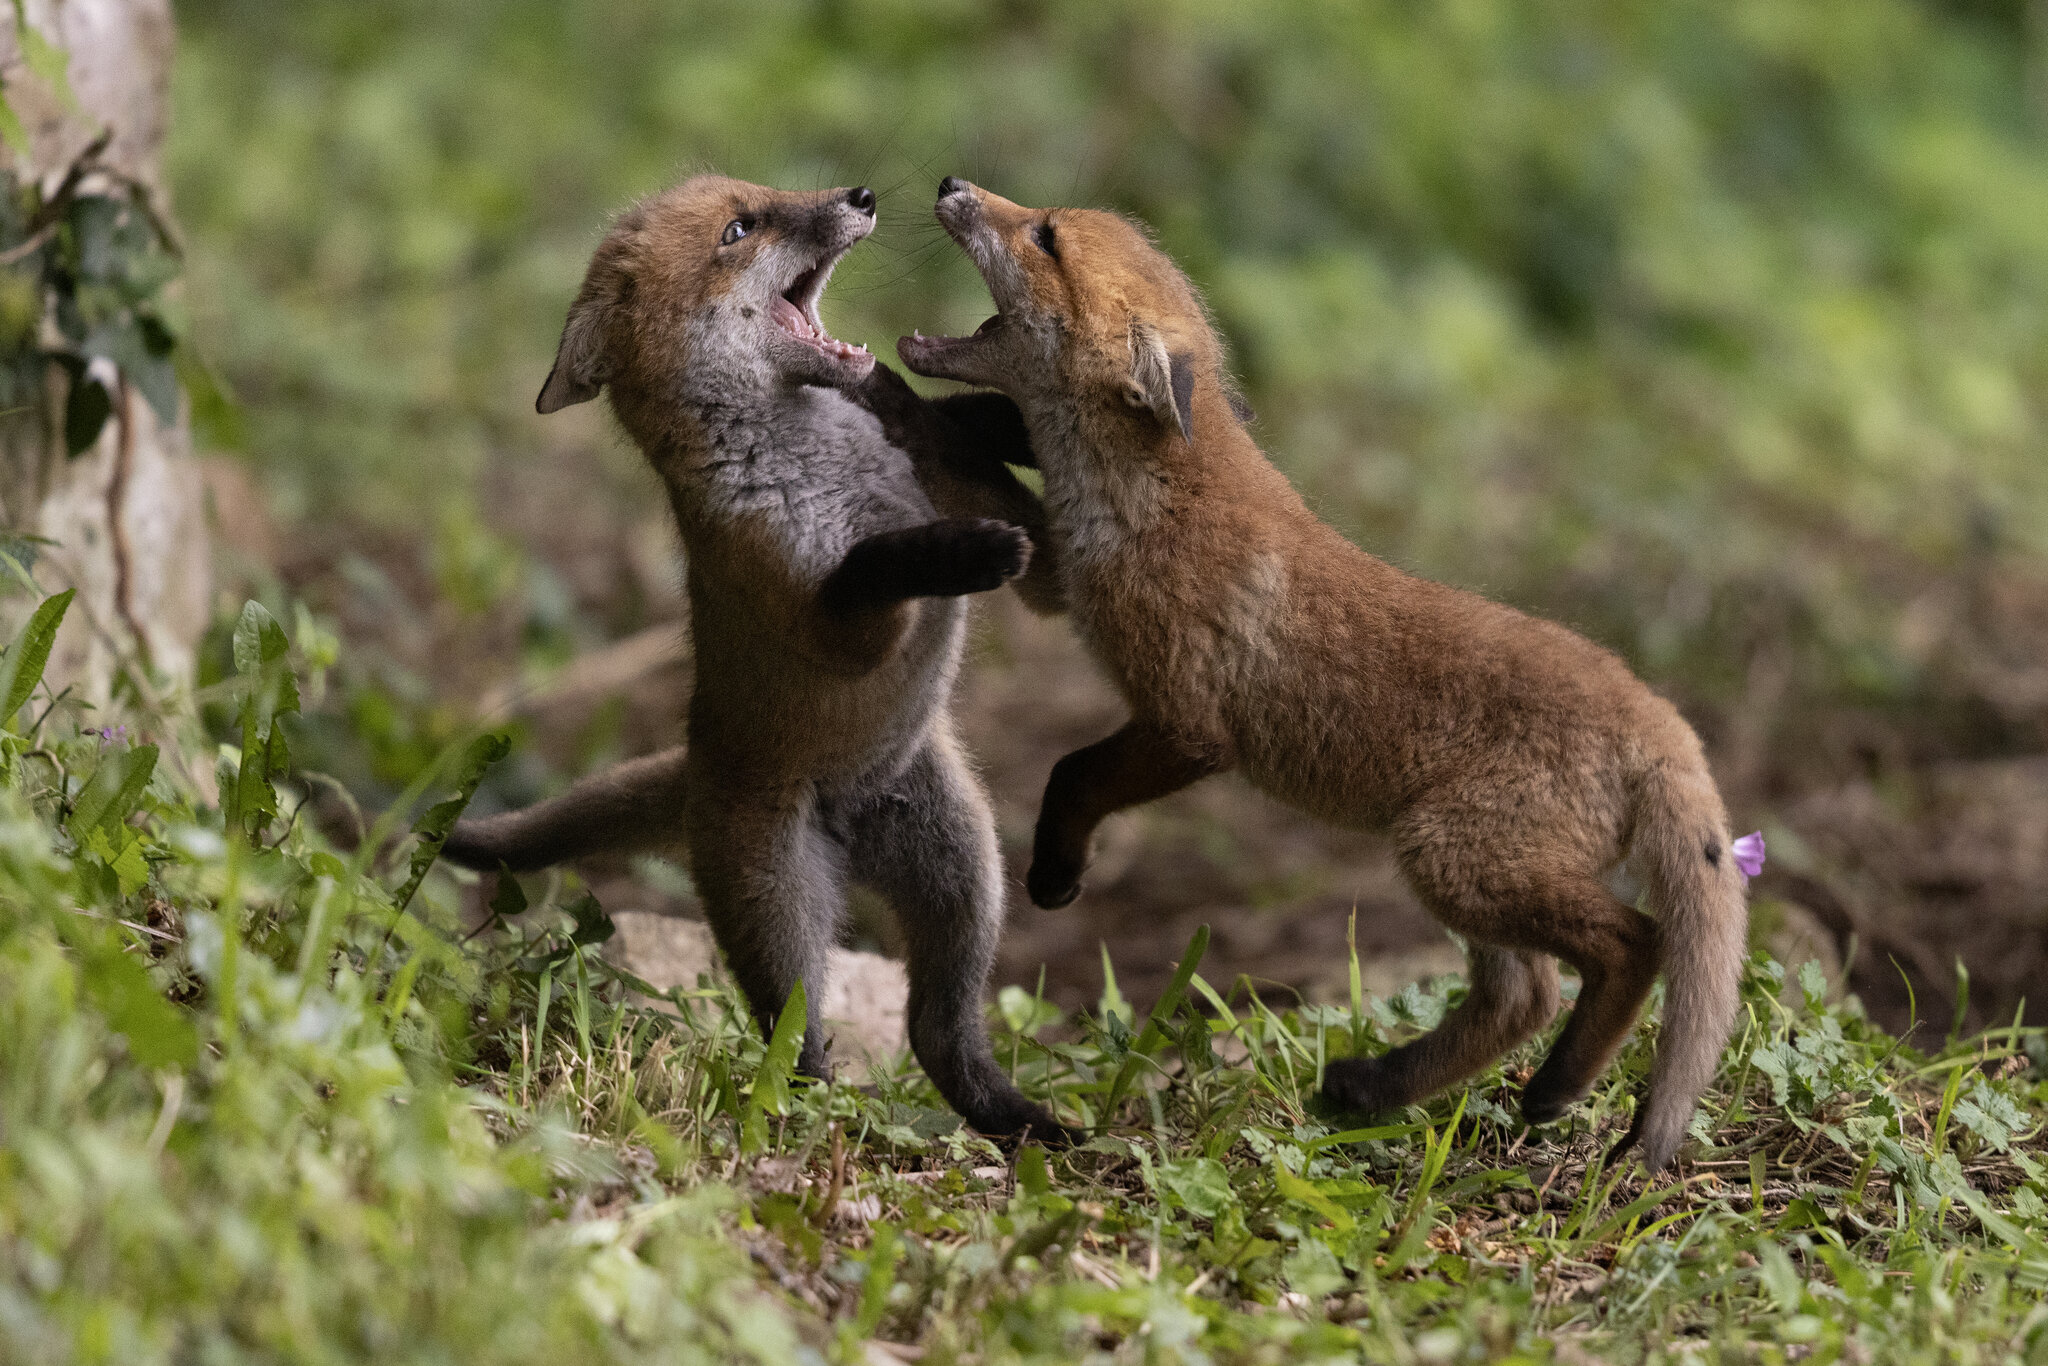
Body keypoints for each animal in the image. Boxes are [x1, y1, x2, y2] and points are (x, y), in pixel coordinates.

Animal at [441, 175, 1075, 1145]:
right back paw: (816, 1116)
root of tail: (696, 770)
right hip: (783, 915)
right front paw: (953, 553)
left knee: (939, 1033)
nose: (860, 192)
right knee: (801, 1043)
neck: (823, 461)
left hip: (966, 871)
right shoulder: (825, 616)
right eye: (740, 231)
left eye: (770, 195)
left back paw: (1020, 1119)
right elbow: (868, 570)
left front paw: (1013, 417)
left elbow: (961, 434)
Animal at [889, 177, 1750, 1169]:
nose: (952, 184)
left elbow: (1073, 772)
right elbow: (992, 491)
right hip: (1467, 872)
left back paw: (1554, 1086)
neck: (1155, 497)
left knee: (1629, 944)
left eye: (1045, 238)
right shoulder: (1059, 585)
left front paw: (1057, 874)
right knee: (1523, 994)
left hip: (1453, 856)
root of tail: (1662, 720)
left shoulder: (1188, 725)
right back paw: (1377, 1088)